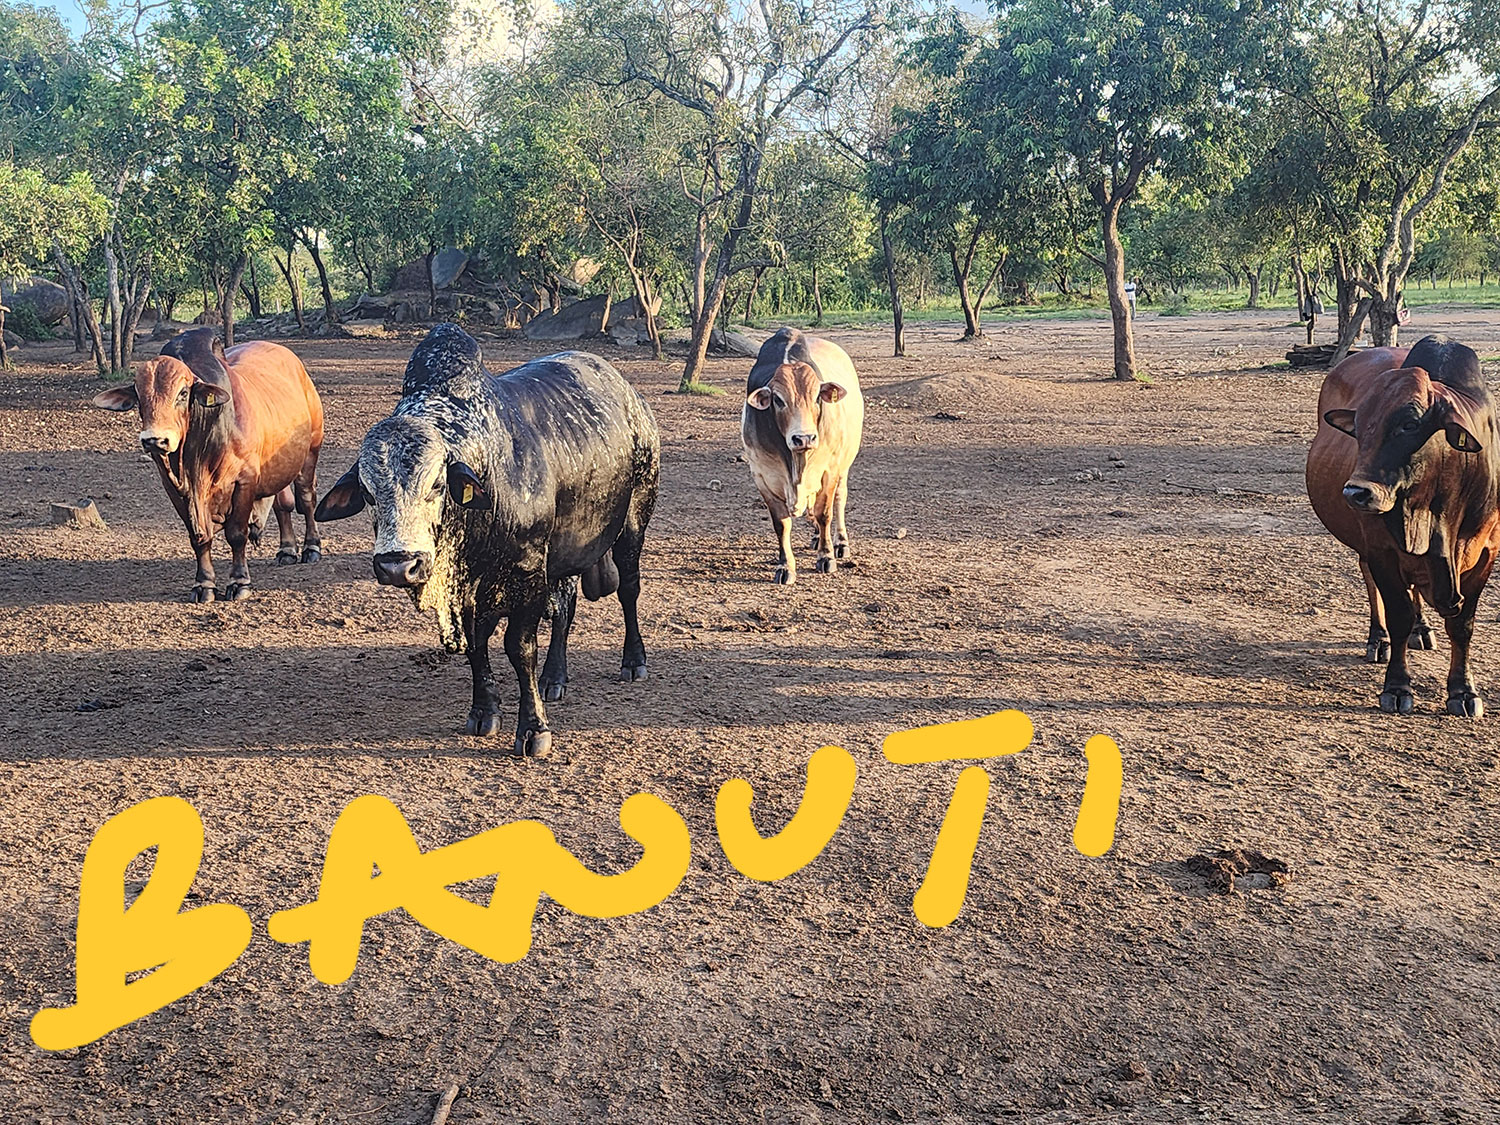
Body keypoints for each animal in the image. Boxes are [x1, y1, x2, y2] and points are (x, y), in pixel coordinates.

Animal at [91, 327, 324, 601]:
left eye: (183, 393)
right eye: (138, 395)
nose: (154, 439)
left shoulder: (244, 481)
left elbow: (237, 534)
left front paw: (239, 582)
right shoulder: (176, 491)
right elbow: (198, 538)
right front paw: (204, 584)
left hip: (310, 453)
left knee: (306, 499)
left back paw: (311, 547)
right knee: (283, 504)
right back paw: (287, 549)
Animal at [314, 324, 659, 758]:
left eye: (437, 484)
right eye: (368, 491)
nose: (397, 565)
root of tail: (632, 397)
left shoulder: (528, 572)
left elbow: (519, 647)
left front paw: (533, 729)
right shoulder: (473, 588)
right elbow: (477, 644)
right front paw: (484, 710)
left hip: (633, 522)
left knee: (628, 589)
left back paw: (633, 661)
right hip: (563, 551)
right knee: (565, 607)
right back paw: (554, 677)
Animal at [742, 328, 864, 584]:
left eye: (817, 396)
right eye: (778, 399)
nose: (804, 438)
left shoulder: (829, 469)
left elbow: (824, 513)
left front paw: (826, 557)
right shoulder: (763, 476)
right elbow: (782, 524)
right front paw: (785, 567)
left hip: (844, 466)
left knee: (839, 500)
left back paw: (840, 542)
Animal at [1306, 334, 1500, 716]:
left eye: (1409, 424)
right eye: (1359, 426)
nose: (1356, 492)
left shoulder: (1487, 553)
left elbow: (1462, 625)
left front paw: (1463, 691)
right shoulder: (1382, 548)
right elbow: (1398, 613)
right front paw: (1396, 686)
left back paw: (1422, 629)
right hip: (1366, 544)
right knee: (1372, 582)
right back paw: (1377, 638)